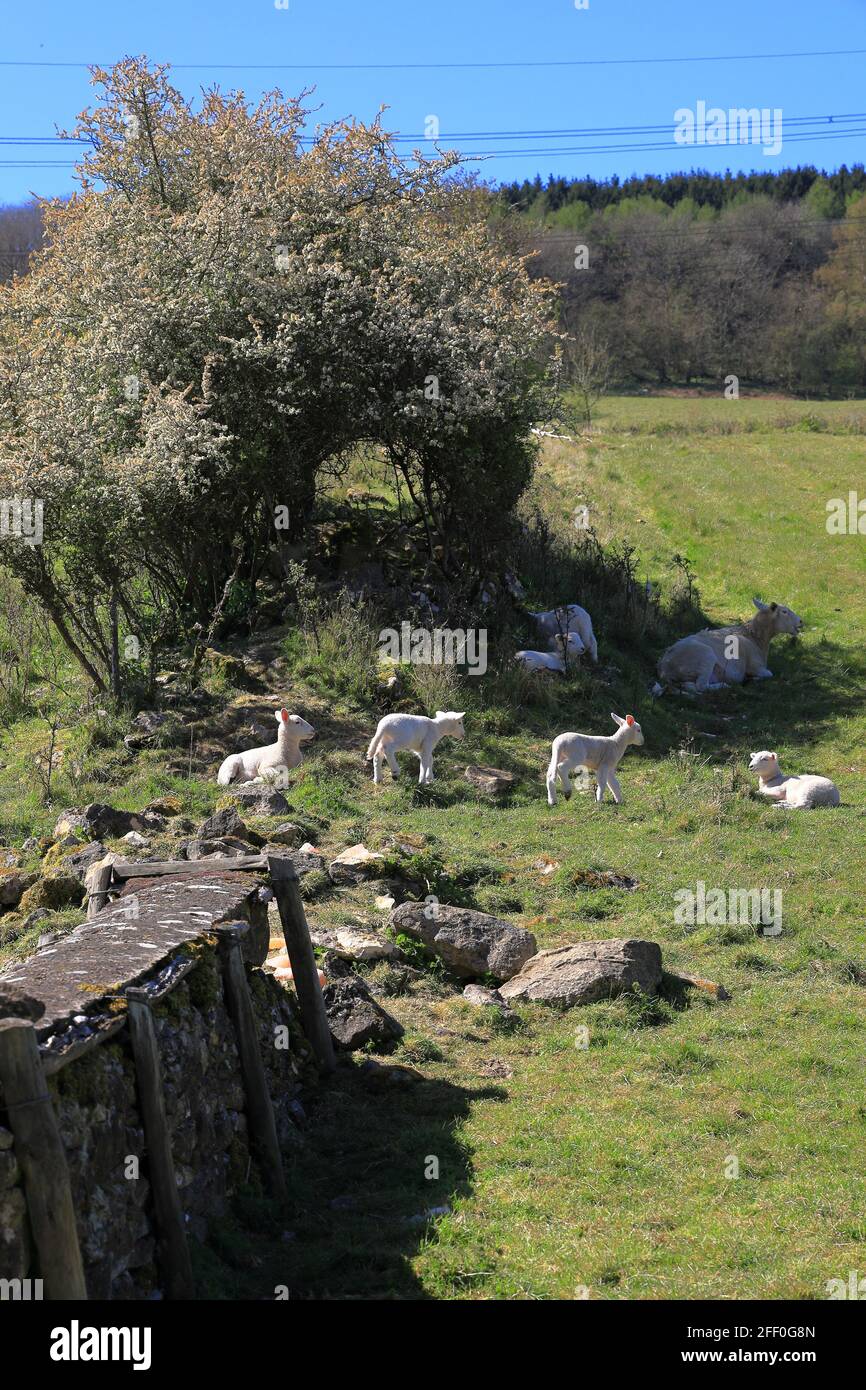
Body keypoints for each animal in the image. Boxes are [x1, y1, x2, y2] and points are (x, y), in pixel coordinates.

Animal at [653, 598, 803, 695]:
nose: (801, 621)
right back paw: (724, 685)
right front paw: (751, 679)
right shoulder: (755, 667)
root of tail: (663, 667)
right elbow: (769, 674)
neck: (754, 637)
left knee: (689, 685)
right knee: (701, 686)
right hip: (705, 657)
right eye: (784, 611)